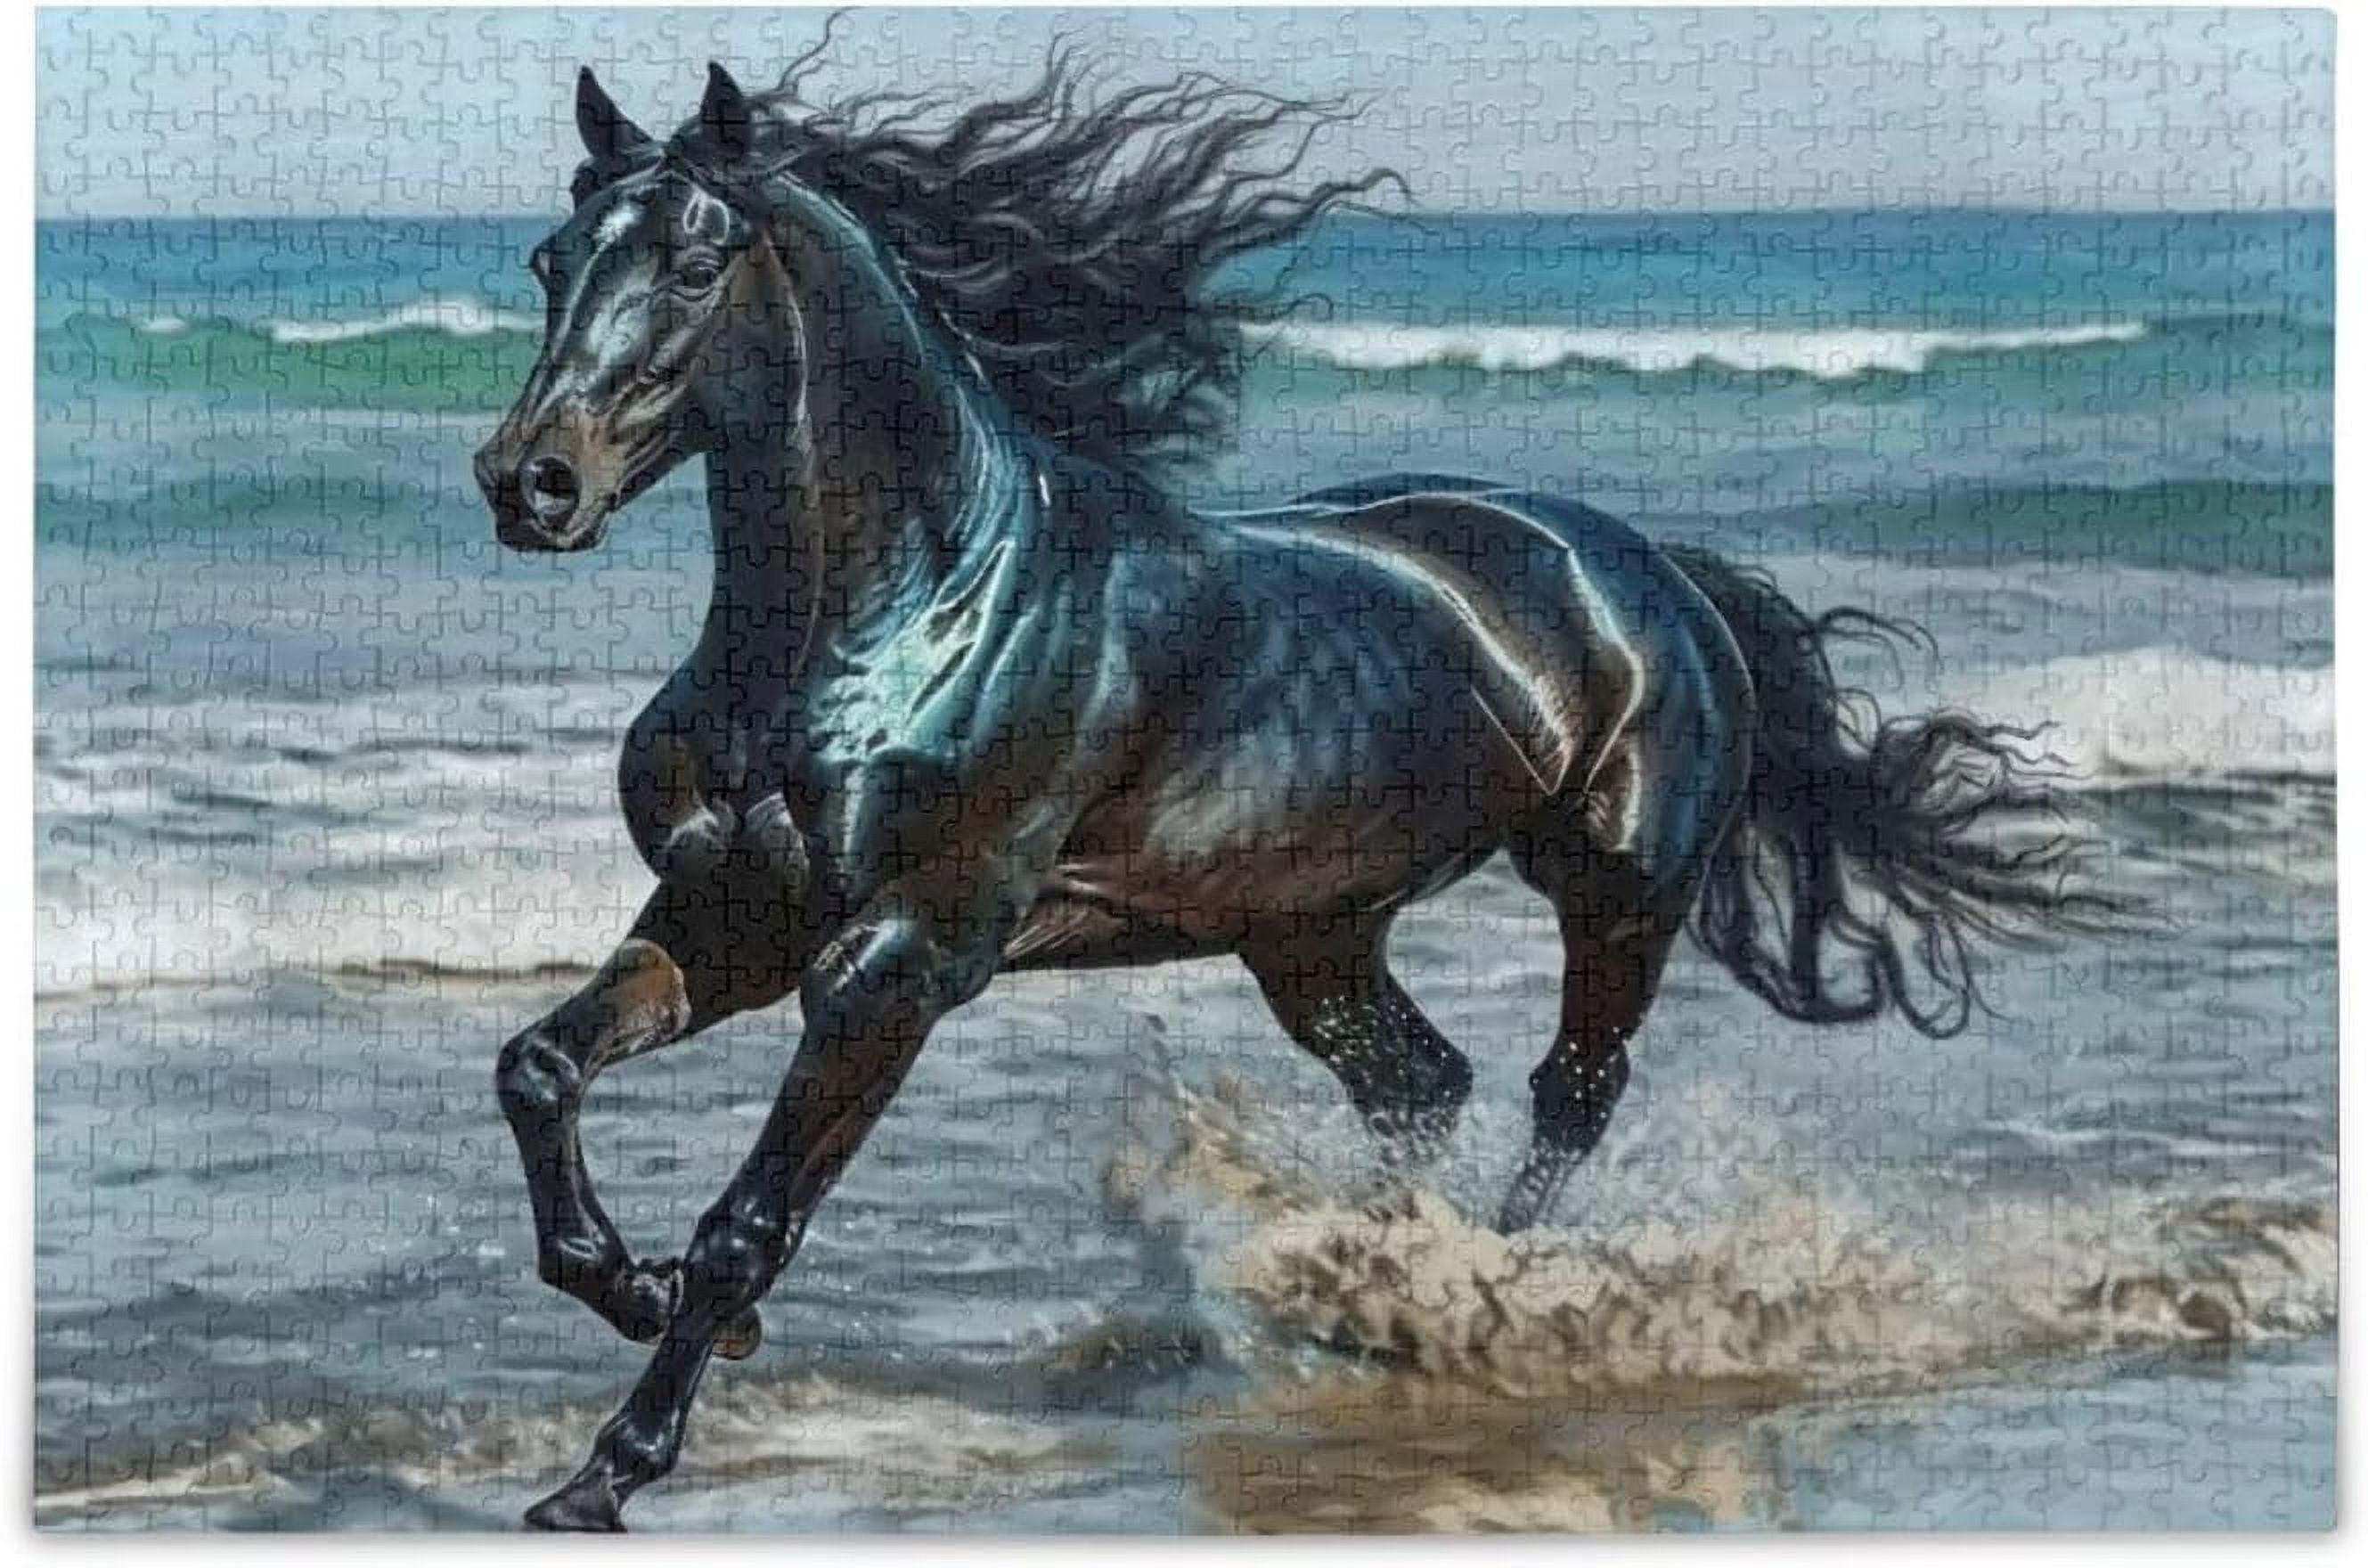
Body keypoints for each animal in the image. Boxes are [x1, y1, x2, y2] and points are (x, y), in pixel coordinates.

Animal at [472, 56, 2121, 1530]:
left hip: (1616, 900)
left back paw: (1482, 1298)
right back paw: (1372, 1291)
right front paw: (632, 1289)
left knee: (1565, 1093)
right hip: (1311, 940)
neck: (901, 612)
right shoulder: (729, 920)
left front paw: (604, 1472)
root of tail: (1651, 571)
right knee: (1421, 1084)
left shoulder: (897, 962)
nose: (527, 483)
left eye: (696, 260)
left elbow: (750, 1223)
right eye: (555, 257)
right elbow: (538, 1071)